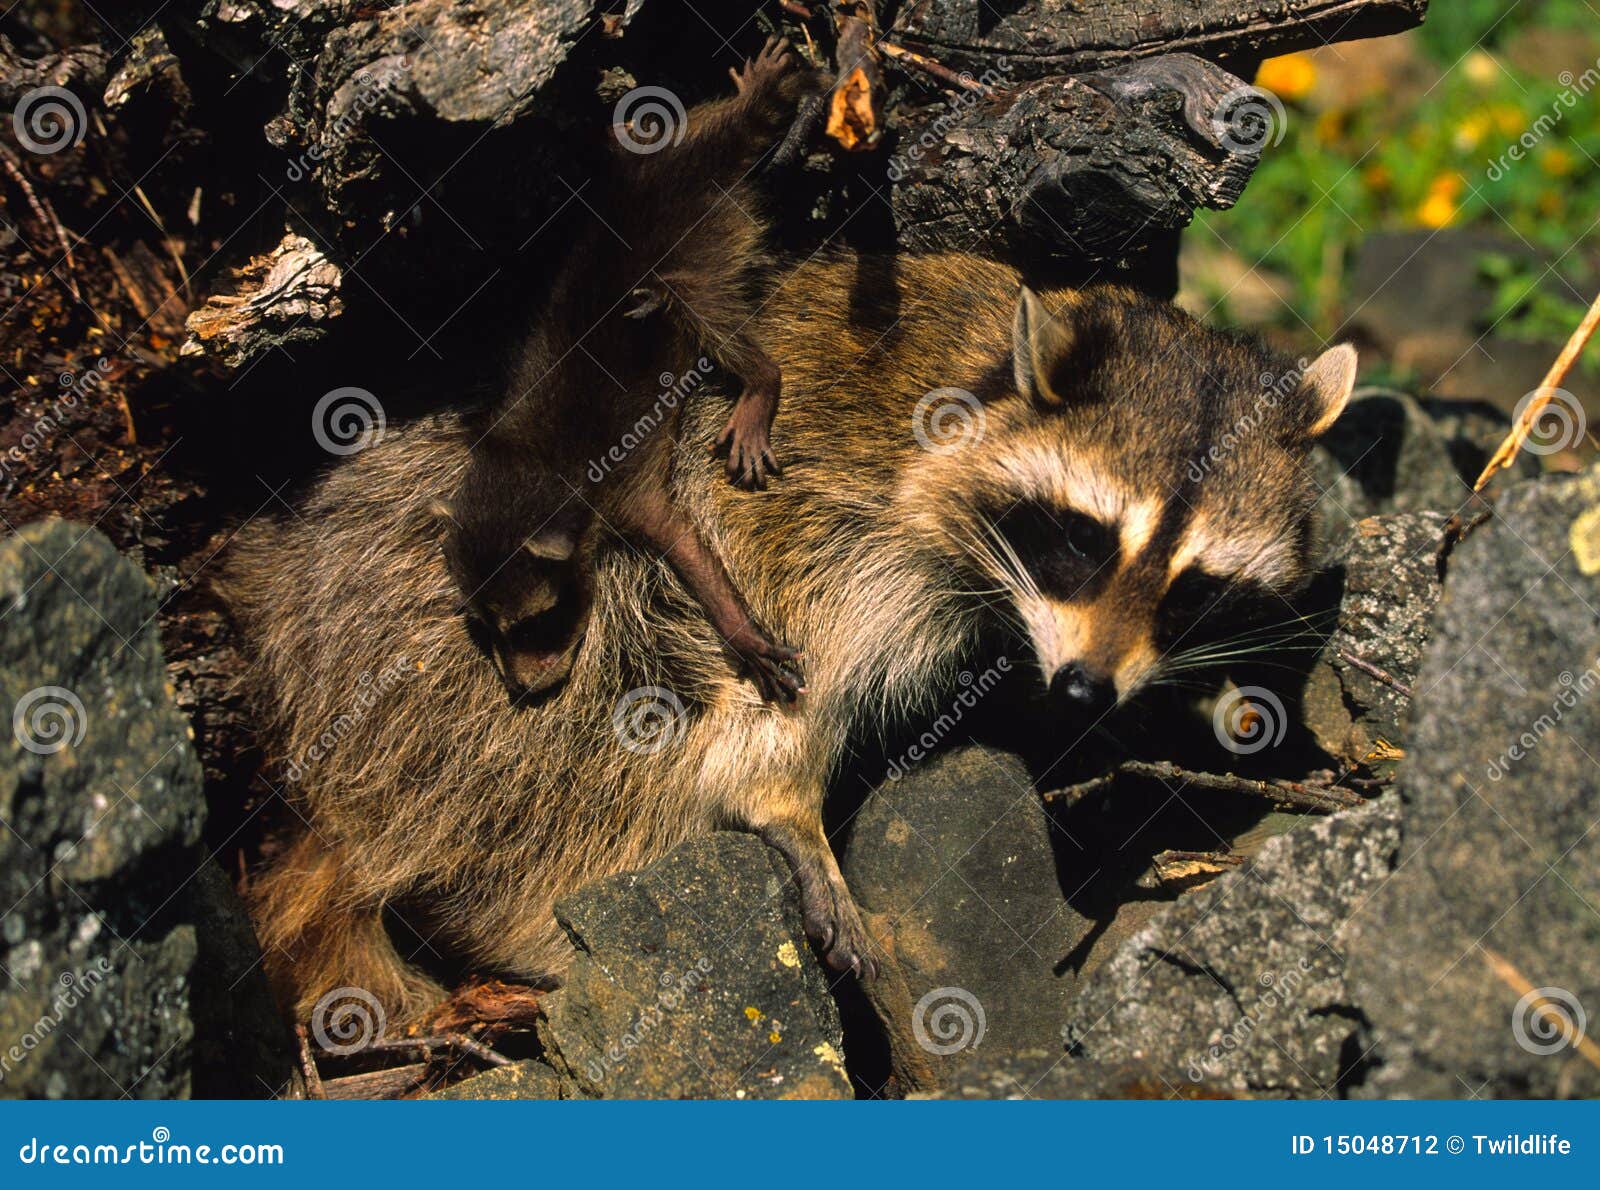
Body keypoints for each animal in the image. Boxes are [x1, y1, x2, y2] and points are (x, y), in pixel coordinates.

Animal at [222, 251, 1354, 1021]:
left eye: (1193, 589)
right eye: (1080, 539)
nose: (1082, 692)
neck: (976, 368)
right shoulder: (822, 536)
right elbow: (771, 709)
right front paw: (788, 809)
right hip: (436, 636)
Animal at [438, 37, 816, 703]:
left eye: (534, 624)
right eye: (485, 629)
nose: (520, 692)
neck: (533, 465)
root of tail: (673, 179)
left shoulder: (618, 489)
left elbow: (687, 548)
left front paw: (738, 627)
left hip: (697, 249)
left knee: (697, 306)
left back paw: (760, 381)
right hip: (654, 155)